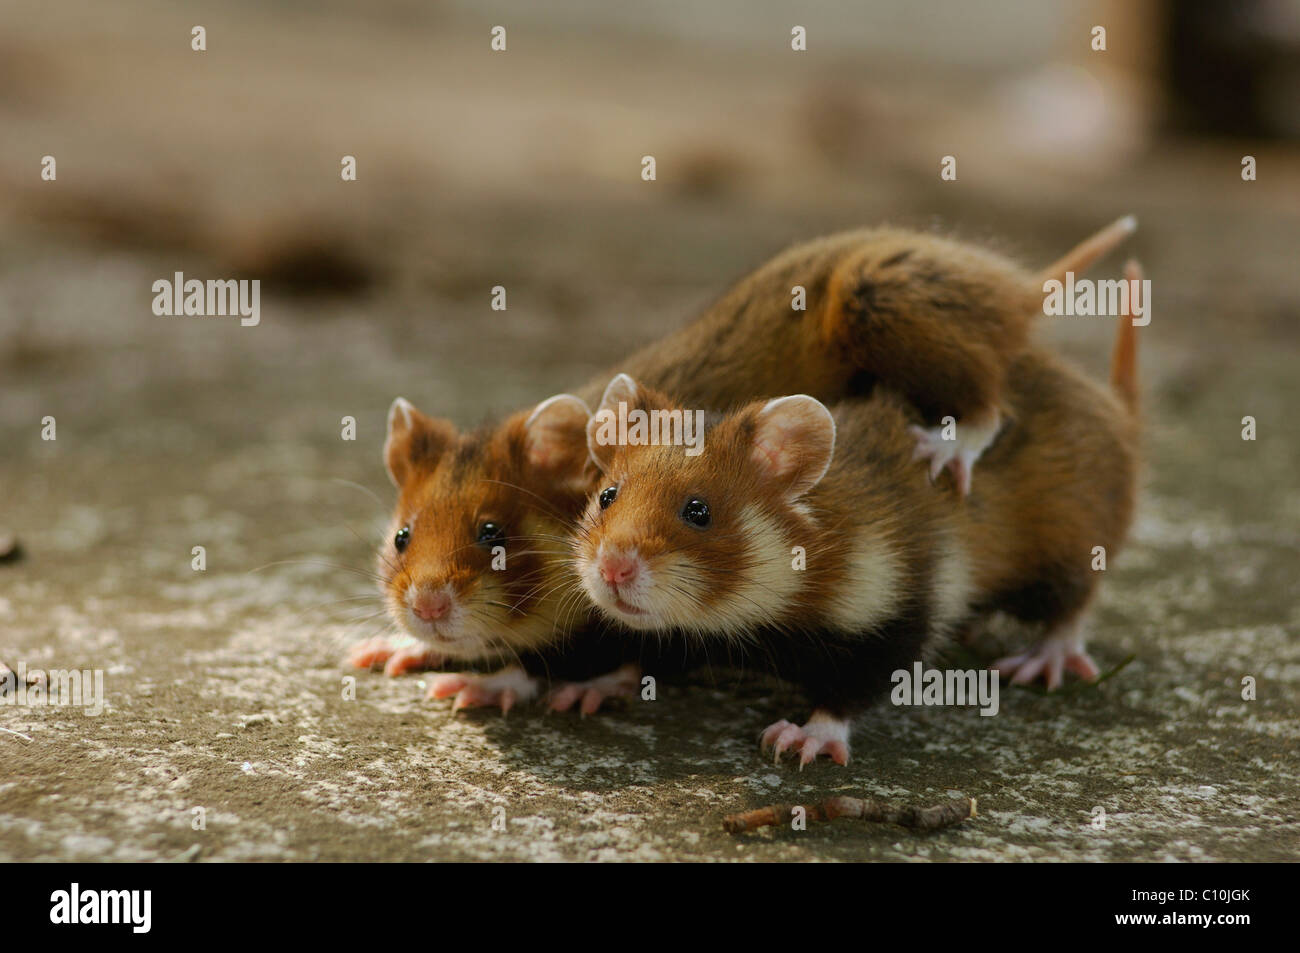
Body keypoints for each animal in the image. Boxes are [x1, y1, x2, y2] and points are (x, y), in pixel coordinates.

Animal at [573, 262, 1144, 764]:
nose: (612, 569)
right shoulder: (683, 632)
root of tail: (1118, 410)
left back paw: (1040, 663)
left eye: (698, 511)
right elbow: (647, 653)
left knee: (1072, 606)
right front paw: (587, 689)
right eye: (607, 496)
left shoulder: (900, 610)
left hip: (1067, 548)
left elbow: (852, 691)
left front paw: (801, 740)